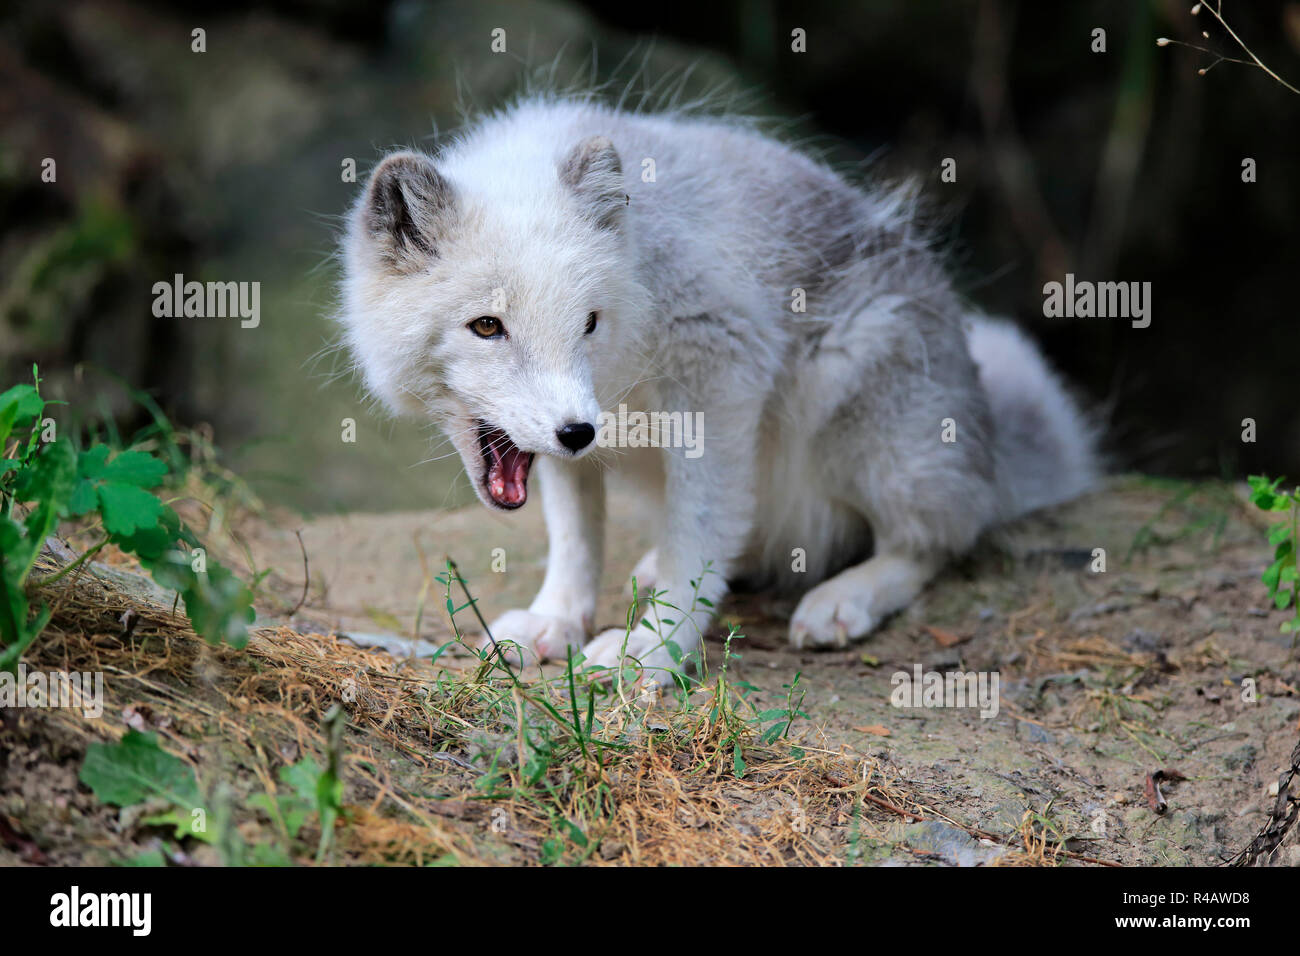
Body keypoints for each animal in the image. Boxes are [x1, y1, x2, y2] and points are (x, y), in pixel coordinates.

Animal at [338, 94, 1097, 680]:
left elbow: (699, 531)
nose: (579, 434)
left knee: (938, 537)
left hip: (861, 404)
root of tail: (989, 437)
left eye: (588, 323)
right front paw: (558, 620)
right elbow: (576, 536)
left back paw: (844, 597)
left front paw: (653, 647)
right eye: (488, 326)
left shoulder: (720, 371)